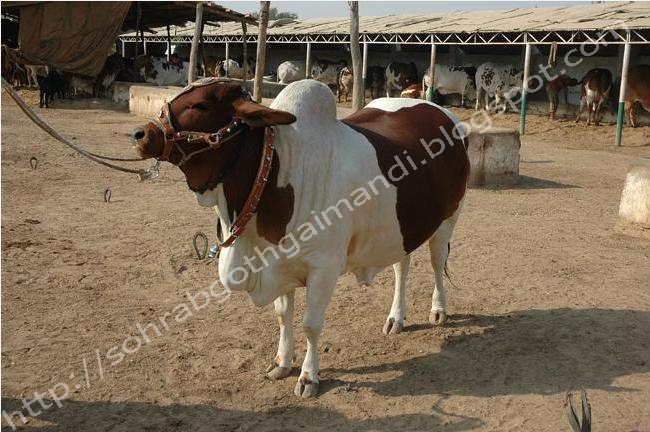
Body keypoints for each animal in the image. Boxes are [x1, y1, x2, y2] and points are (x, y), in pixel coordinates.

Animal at [132, 78, 470, 399]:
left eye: (200, 105)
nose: (140, 133)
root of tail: (441, 111)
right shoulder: (278, 265)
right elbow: (283, 316)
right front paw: (282, 362)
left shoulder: (324, 269)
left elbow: (311, 324)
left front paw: (309, 376)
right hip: (402, 228)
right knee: (402, 267)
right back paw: (396, 318)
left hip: (448, 219)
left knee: (436, 263)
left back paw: (438, 309)